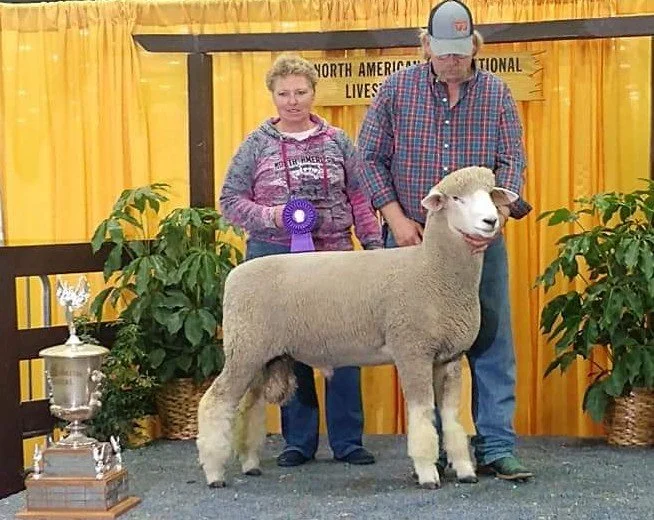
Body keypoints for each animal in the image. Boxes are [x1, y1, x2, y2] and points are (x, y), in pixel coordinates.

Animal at [197, 166, 518, 489]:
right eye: (456, 199)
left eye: (490, 194)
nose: (491, 221)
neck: (432, 269)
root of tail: (235, 275)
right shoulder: (412, 350)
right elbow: (422, 415)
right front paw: (428, 472)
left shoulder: (449, 357)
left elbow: (451, 419)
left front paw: (464, 469)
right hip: (244, 349)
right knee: (216, 402)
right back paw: (213, 472)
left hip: (264, 356)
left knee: (249, 408)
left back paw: (250, 463)